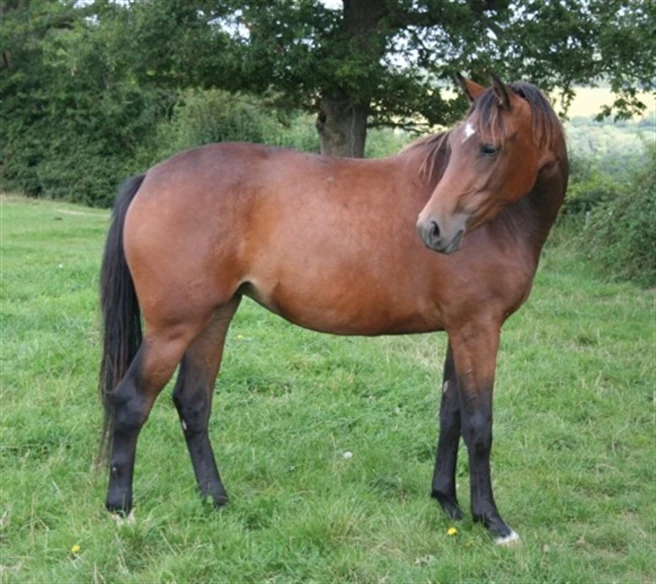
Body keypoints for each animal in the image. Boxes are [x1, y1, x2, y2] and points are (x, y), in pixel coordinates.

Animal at [98, 74, 568, 545]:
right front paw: (492, 521)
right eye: (457, 146)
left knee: (193, 402)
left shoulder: (459, 329)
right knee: (131, 401)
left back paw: (216, 498)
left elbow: (450, 416)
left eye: (488, 148)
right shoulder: (478, 328)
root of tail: (150, 176)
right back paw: (121, 510)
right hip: (173, 328)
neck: (500, 224)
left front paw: (447, 503)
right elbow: (478, 424)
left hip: (213, 317)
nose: (432, 229)